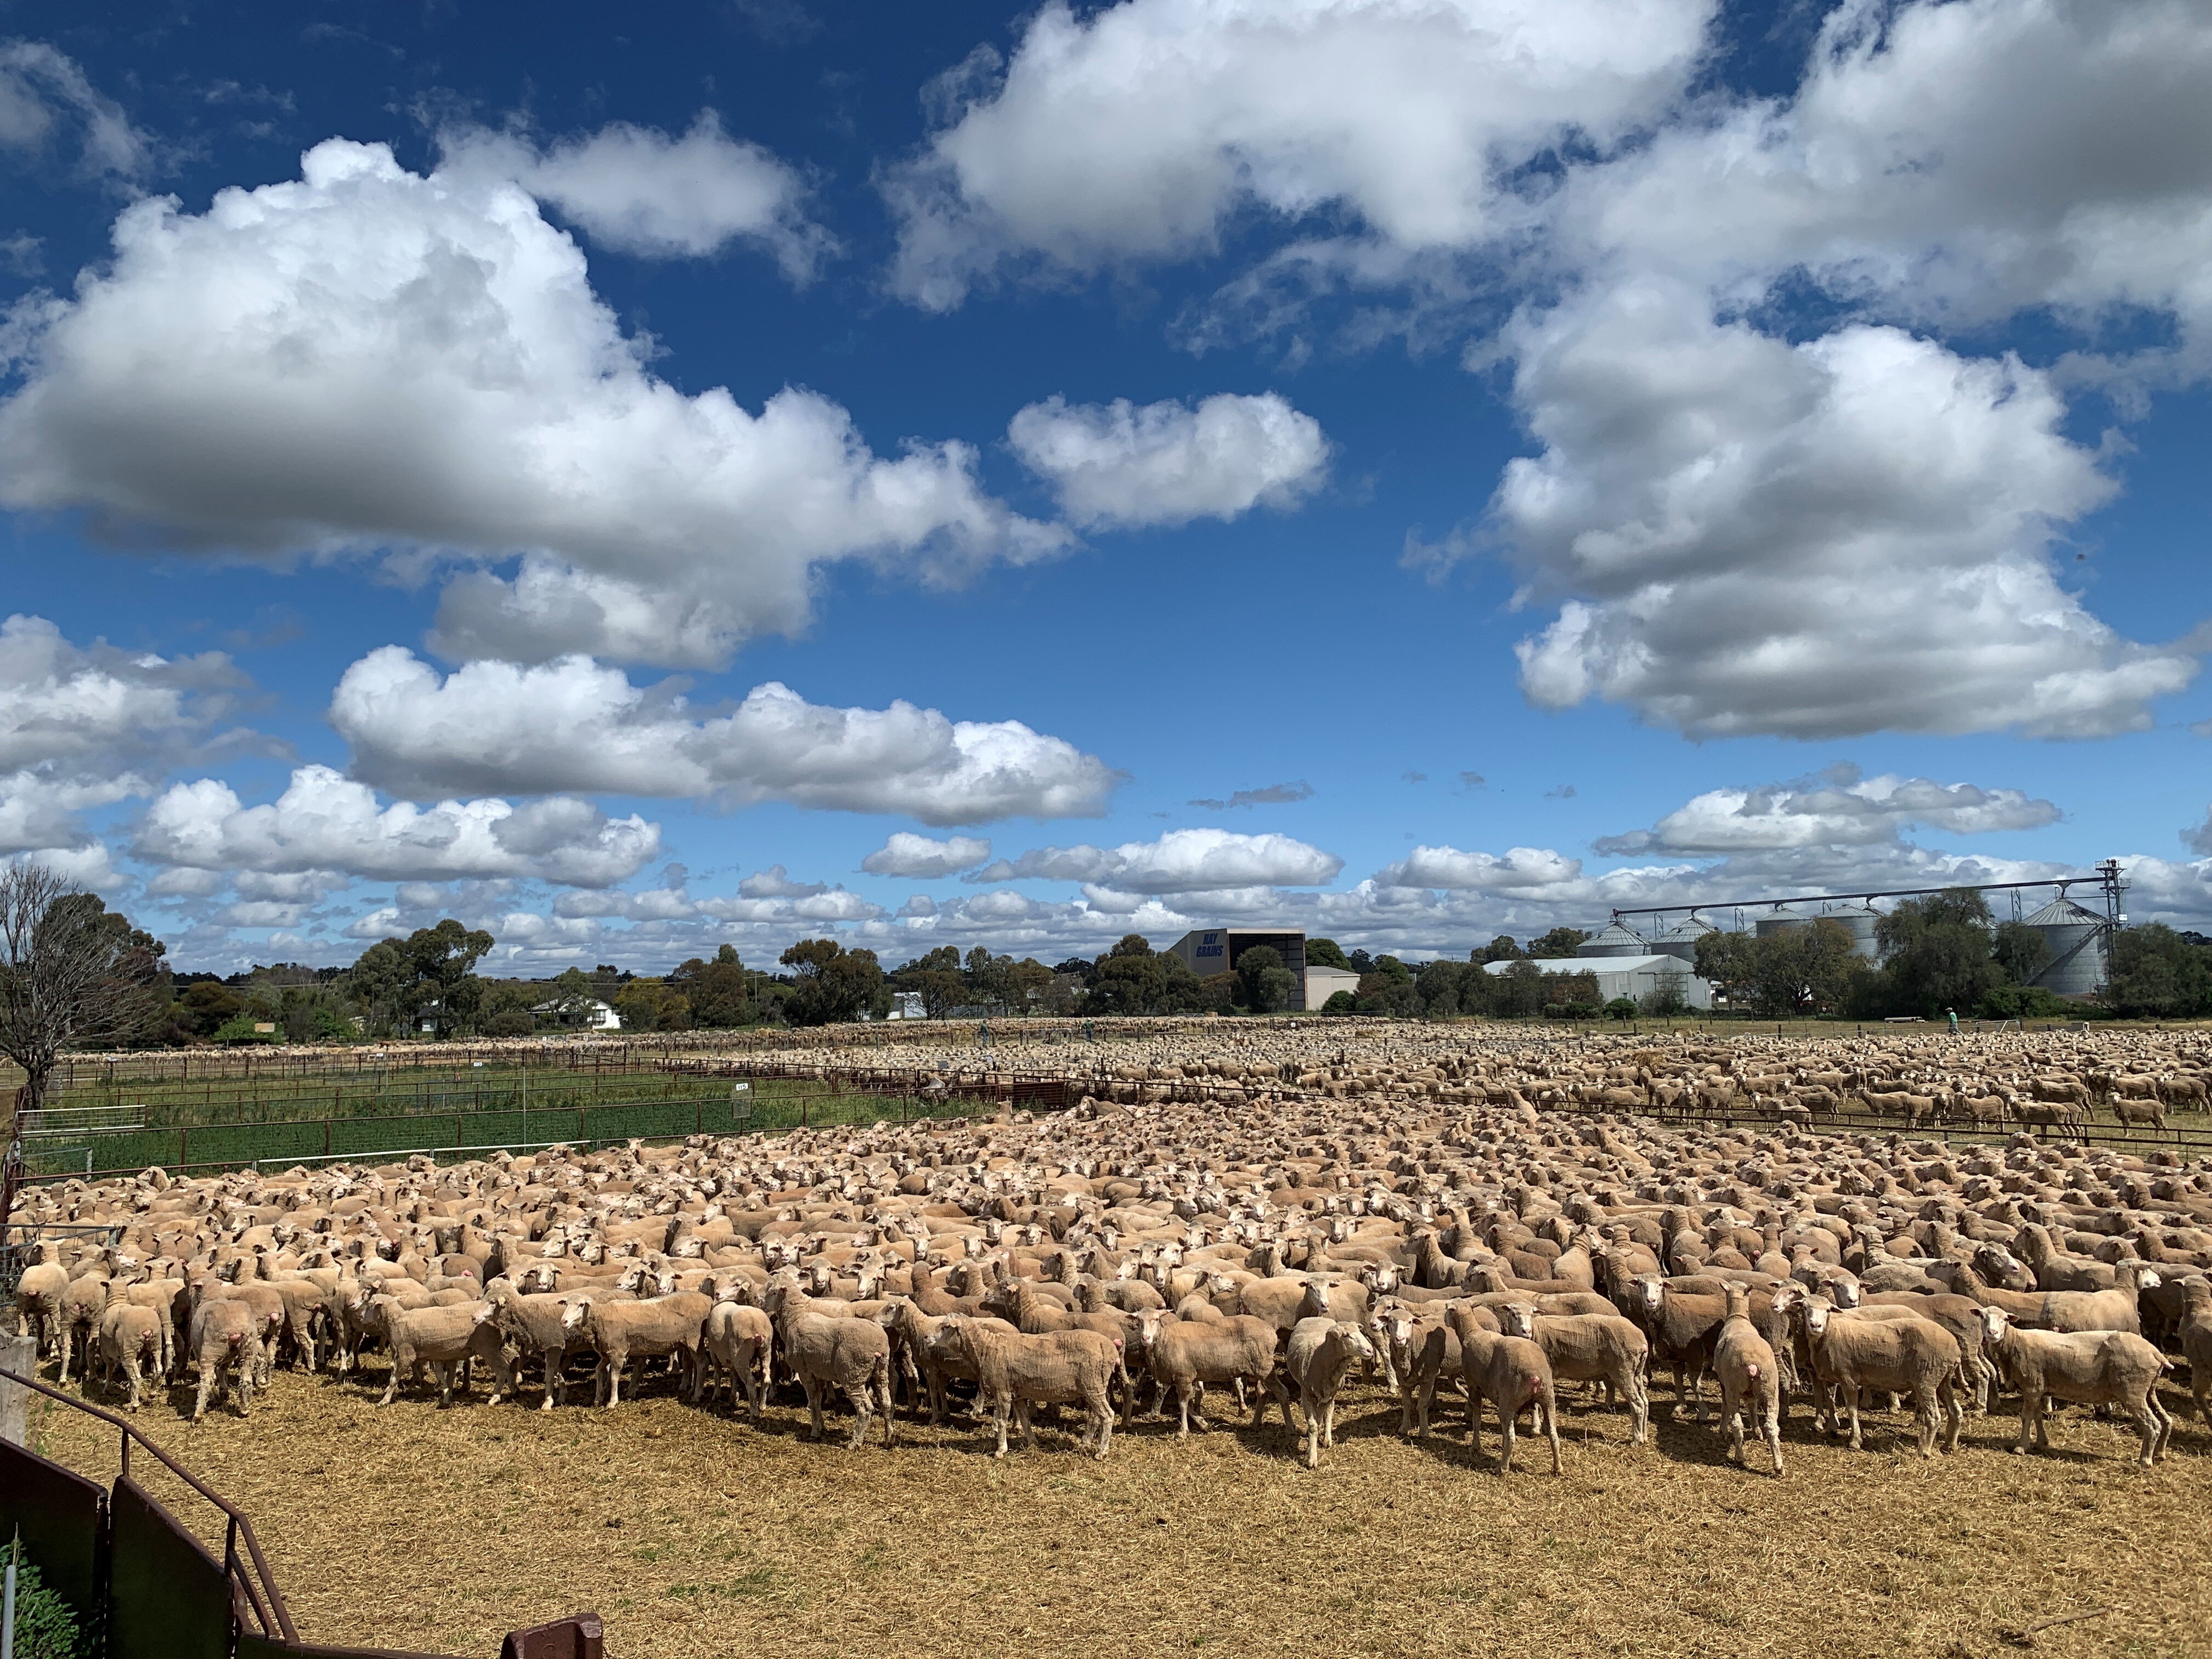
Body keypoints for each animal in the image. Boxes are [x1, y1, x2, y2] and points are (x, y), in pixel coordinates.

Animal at [1710, 1284, 1782, 1476]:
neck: (1738, 1318)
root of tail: (1752, 1363)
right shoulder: (1752, 1393)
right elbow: (1752, 1407)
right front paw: (1757, 1431)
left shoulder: (1724, 1384)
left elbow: (1724, 1407)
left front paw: (1722, 1430)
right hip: (1771, 1389)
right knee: (1772, 1426)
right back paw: (1779, 1465)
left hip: (1734, 1388)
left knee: (1737, 1424)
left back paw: (1739, 1457)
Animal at [1992, 1319, 2172, 1466]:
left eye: (2004, 1320)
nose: (1992, 1333)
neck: (2016, 1342)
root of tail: (2156, 1354)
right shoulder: (2038, 1389)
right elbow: (2037, 1417)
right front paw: (2041, 1442)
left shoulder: (2031, 1387)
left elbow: (2027, 1417)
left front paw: (2021, 1447)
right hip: (2148, 1392)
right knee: (2167, 1419)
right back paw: (2160, 1454)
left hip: (2133, 1392)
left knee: (2152, 1424)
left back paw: (2145, 1461)